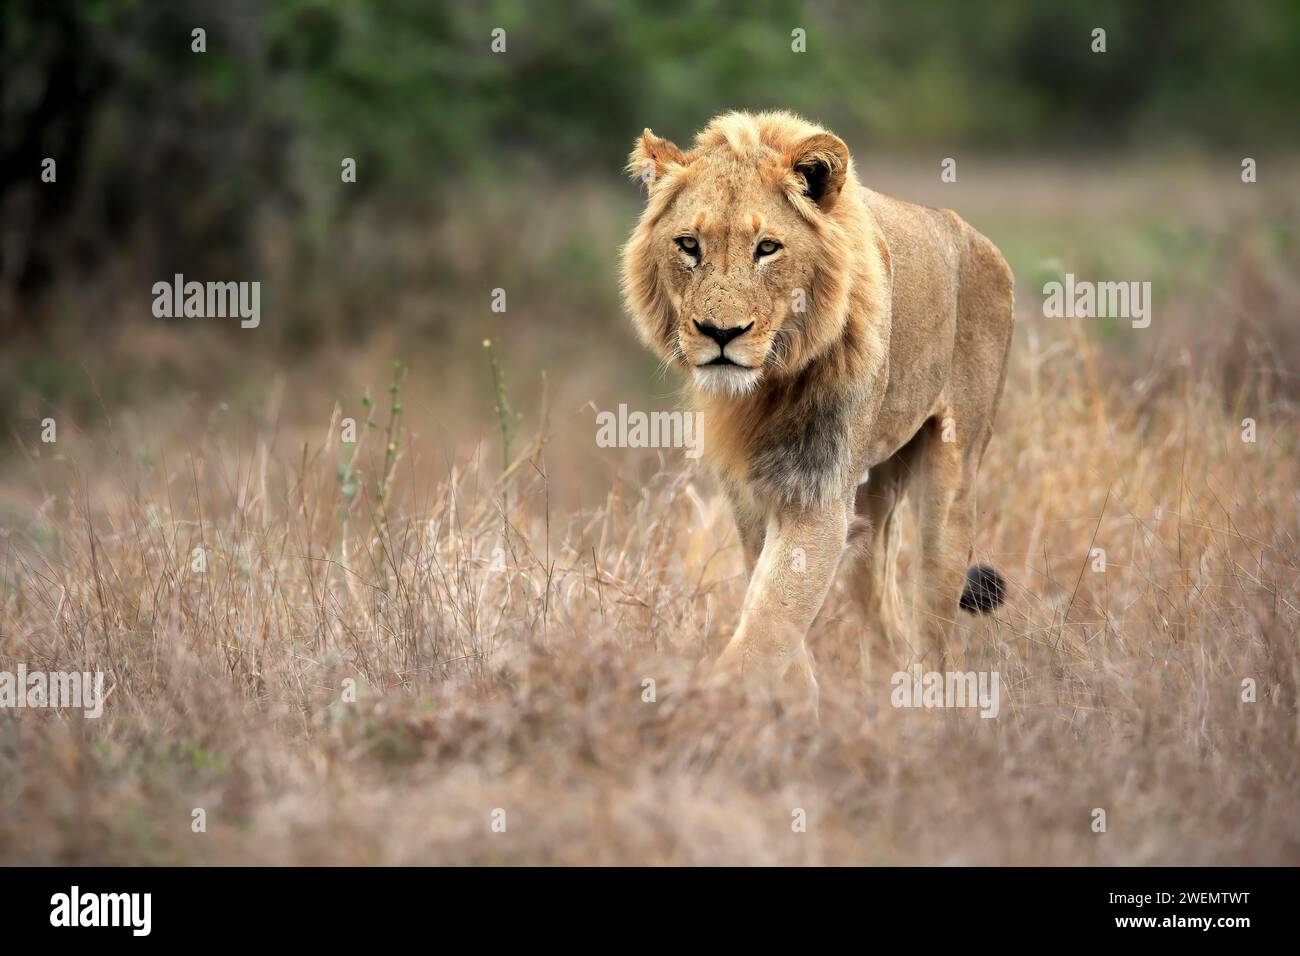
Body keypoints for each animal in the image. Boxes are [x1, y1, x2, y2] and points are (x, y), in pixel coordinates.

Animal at [620, 111, 1014, 710]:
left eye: (767, 248)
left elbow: (772, 618)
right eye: (688, 245)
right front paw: (800, 702)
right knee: (883, 615)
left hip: (953, 476)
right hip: (875, 496)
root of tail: (977, 238)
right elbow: (771, 605)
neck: (767, 385)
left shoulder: (817, 490)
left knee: (935, 624)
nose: (720, 333)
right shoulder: (750, 492)